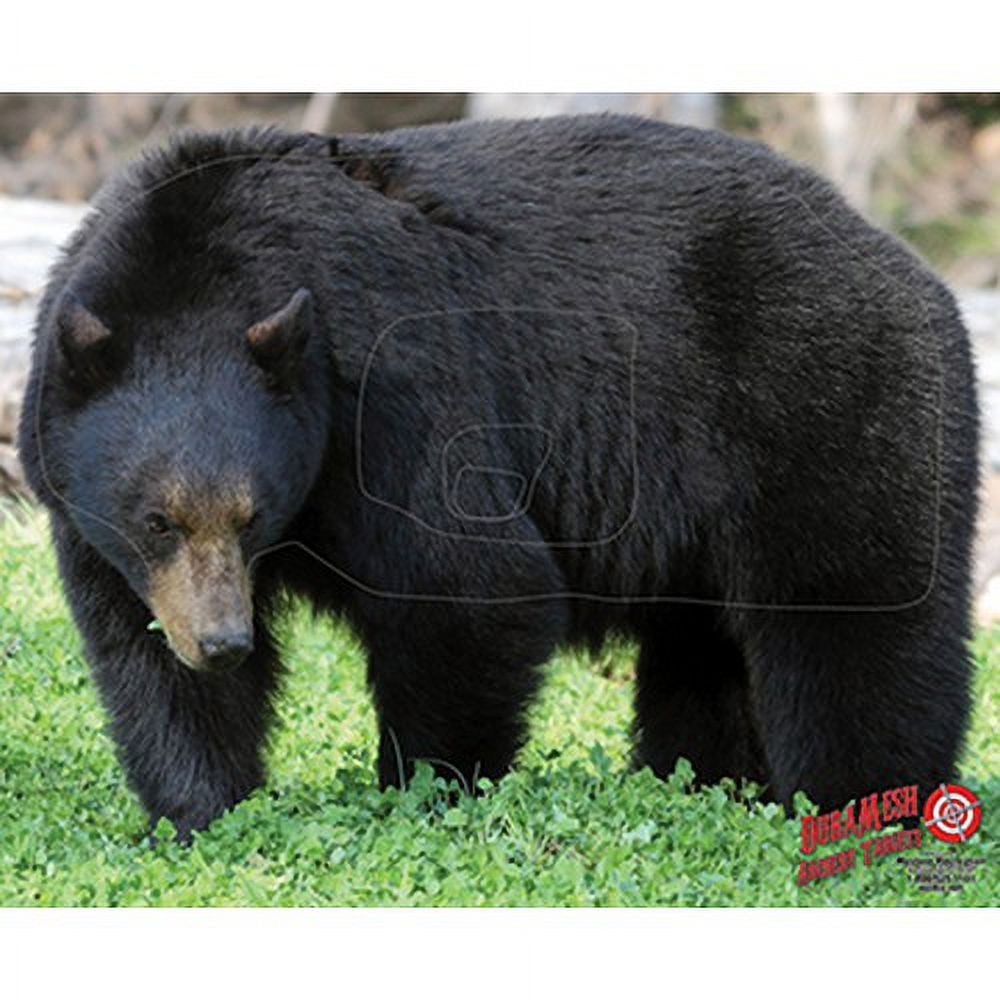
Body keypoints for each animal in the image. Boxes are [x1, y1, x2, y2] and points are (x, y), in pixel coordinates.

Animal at [18, 114, 978, 841]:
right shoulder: (101, 518)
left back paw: (861, 799)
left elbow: (468, 585)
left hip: (822, 403)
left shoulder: (395, 388)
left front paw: (424, 786)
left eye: (251, 515)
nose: (224, 641)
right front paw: (196, 810)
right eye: (157, 519)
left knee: (851, 619)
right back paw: (703, 781)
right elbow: (140, 652)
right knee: (705, 652)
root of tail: (912, 269)